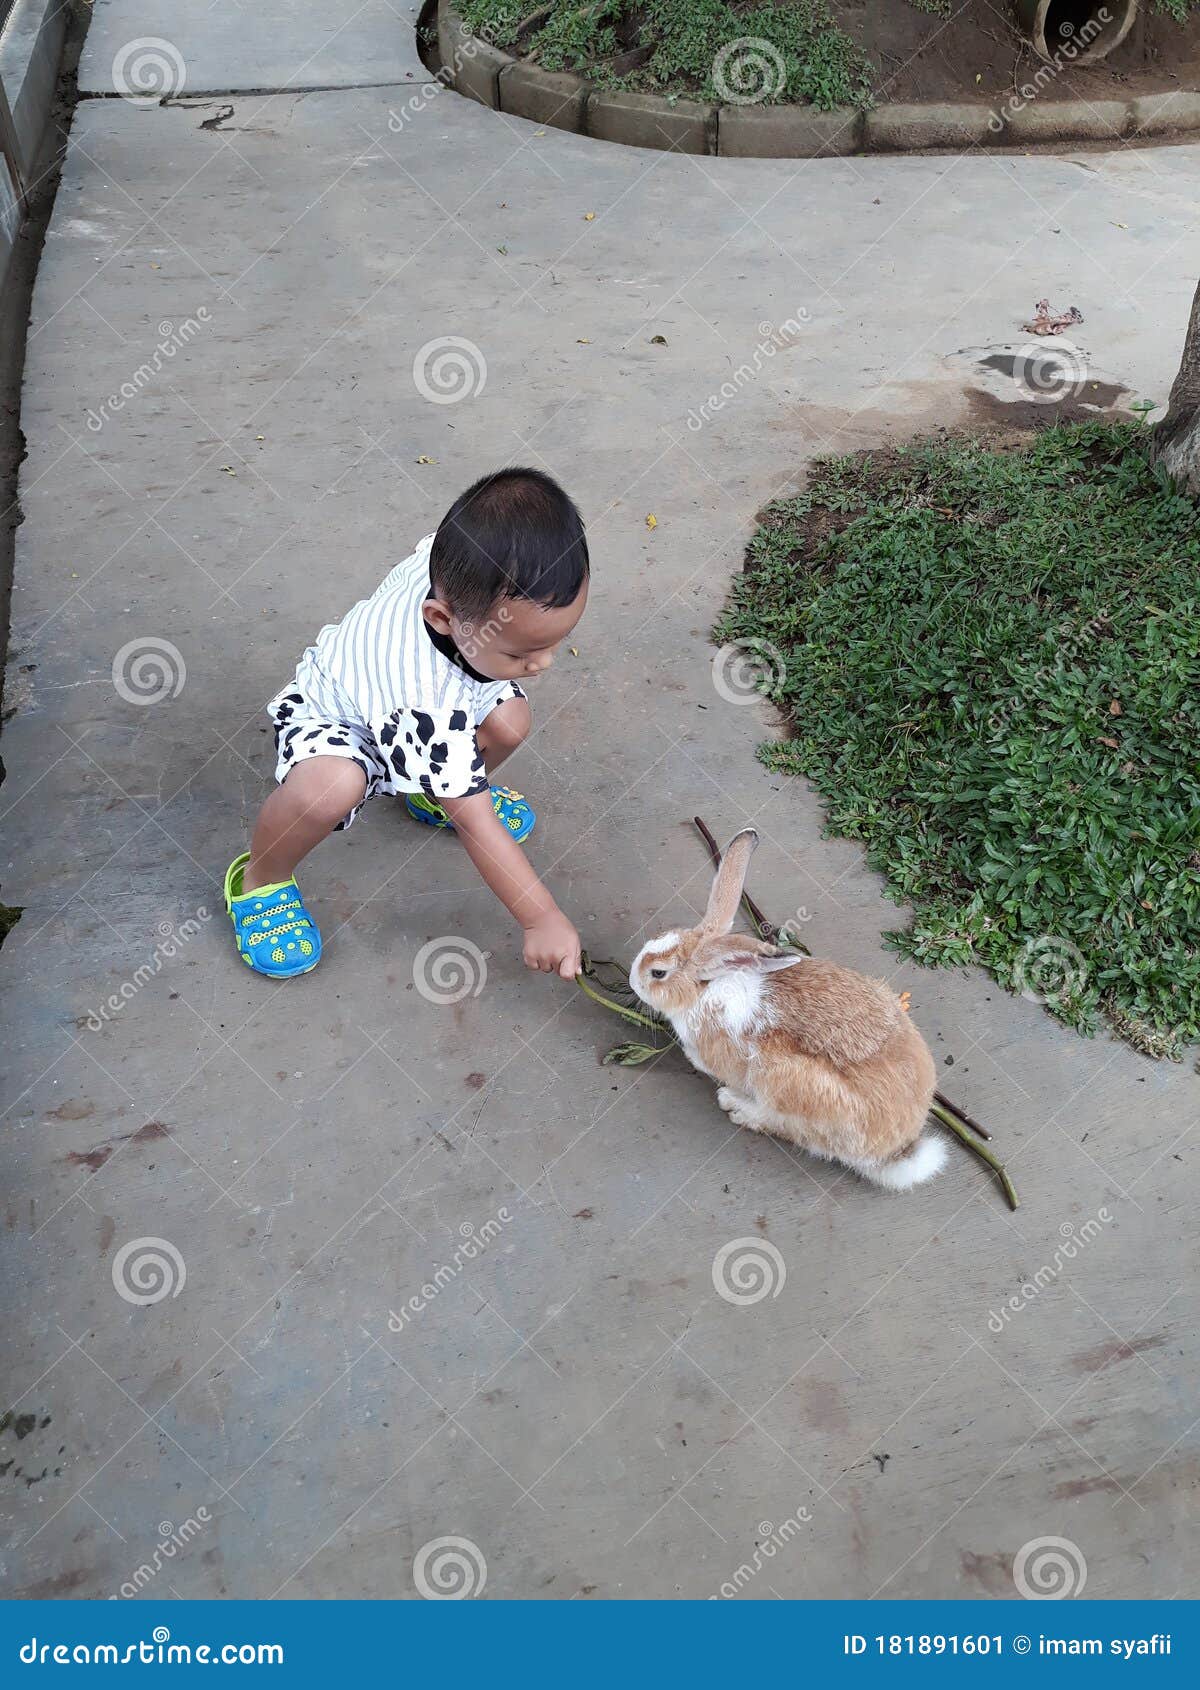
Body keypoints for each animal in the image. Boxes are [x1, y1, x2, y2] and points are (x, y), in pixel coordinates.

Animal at [630, 829, 945, 1191]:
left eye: (658, 973)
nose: (633, 980)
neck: (705, 989)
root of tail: (891, 1151)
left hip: (782, 1082)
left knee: (787, 1128)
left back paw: (735, 1106)